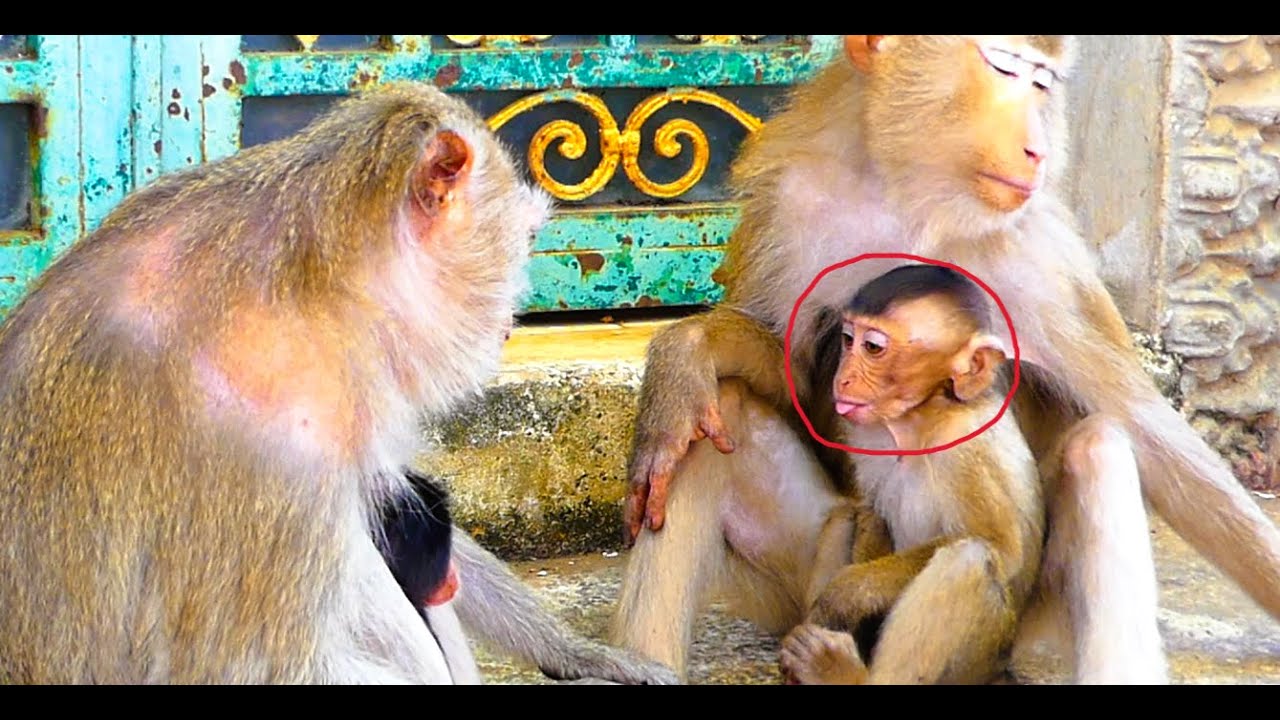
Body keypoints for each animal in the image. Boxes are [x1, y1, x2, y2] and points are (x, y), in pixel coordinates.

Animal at [0, 81, 677, 685]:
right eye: (527, 239)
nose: (513, 318)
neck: (312, 285)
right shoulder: (276, 440)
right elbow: (252, 670)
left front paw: (582, 652)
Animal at [776, 263, 1045, 685]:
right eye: (848, 339)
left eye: (873, 347)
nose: (843, 377)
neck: (922, 422)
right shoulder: (870, 437)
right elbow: (871, 513)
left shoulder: (968, 449)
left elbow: (1001, 546)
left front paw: (850, 591)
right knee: (849, 514)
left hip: (978, 662)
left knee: (969, 558)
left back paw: (842, 672)